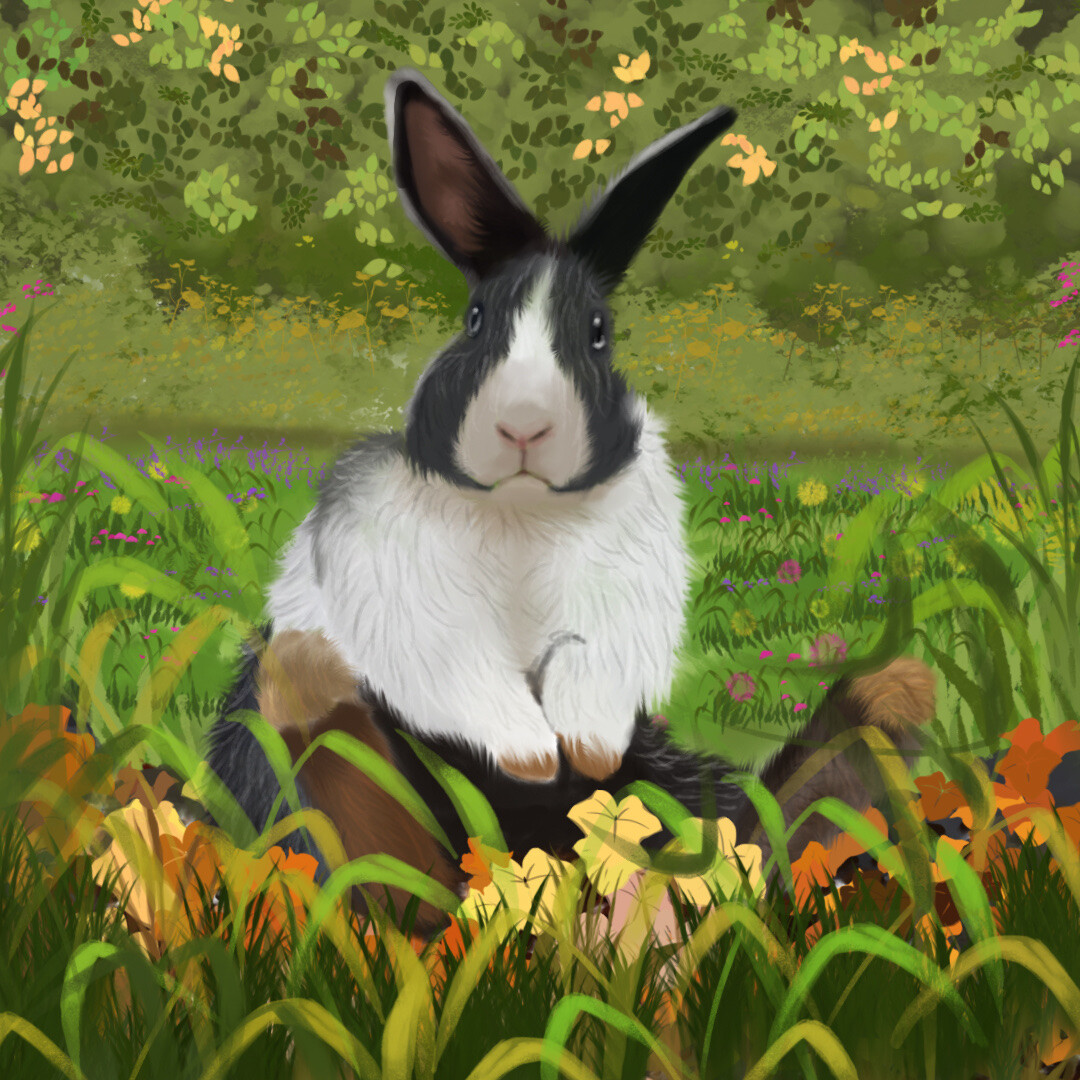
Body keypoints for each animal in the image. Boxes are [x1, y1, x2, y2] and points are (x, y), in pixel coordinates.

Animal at [205, 68, 937, 937]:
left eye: (596, 332)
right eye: (476, 321)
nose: (524, 424)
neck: (521, 512)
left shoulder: (623, 604)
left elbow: (593, 666)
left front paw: (580, 749)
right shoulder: (391, 585)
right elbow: (458, 670)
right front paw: (532, 753)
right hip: (311, 727)